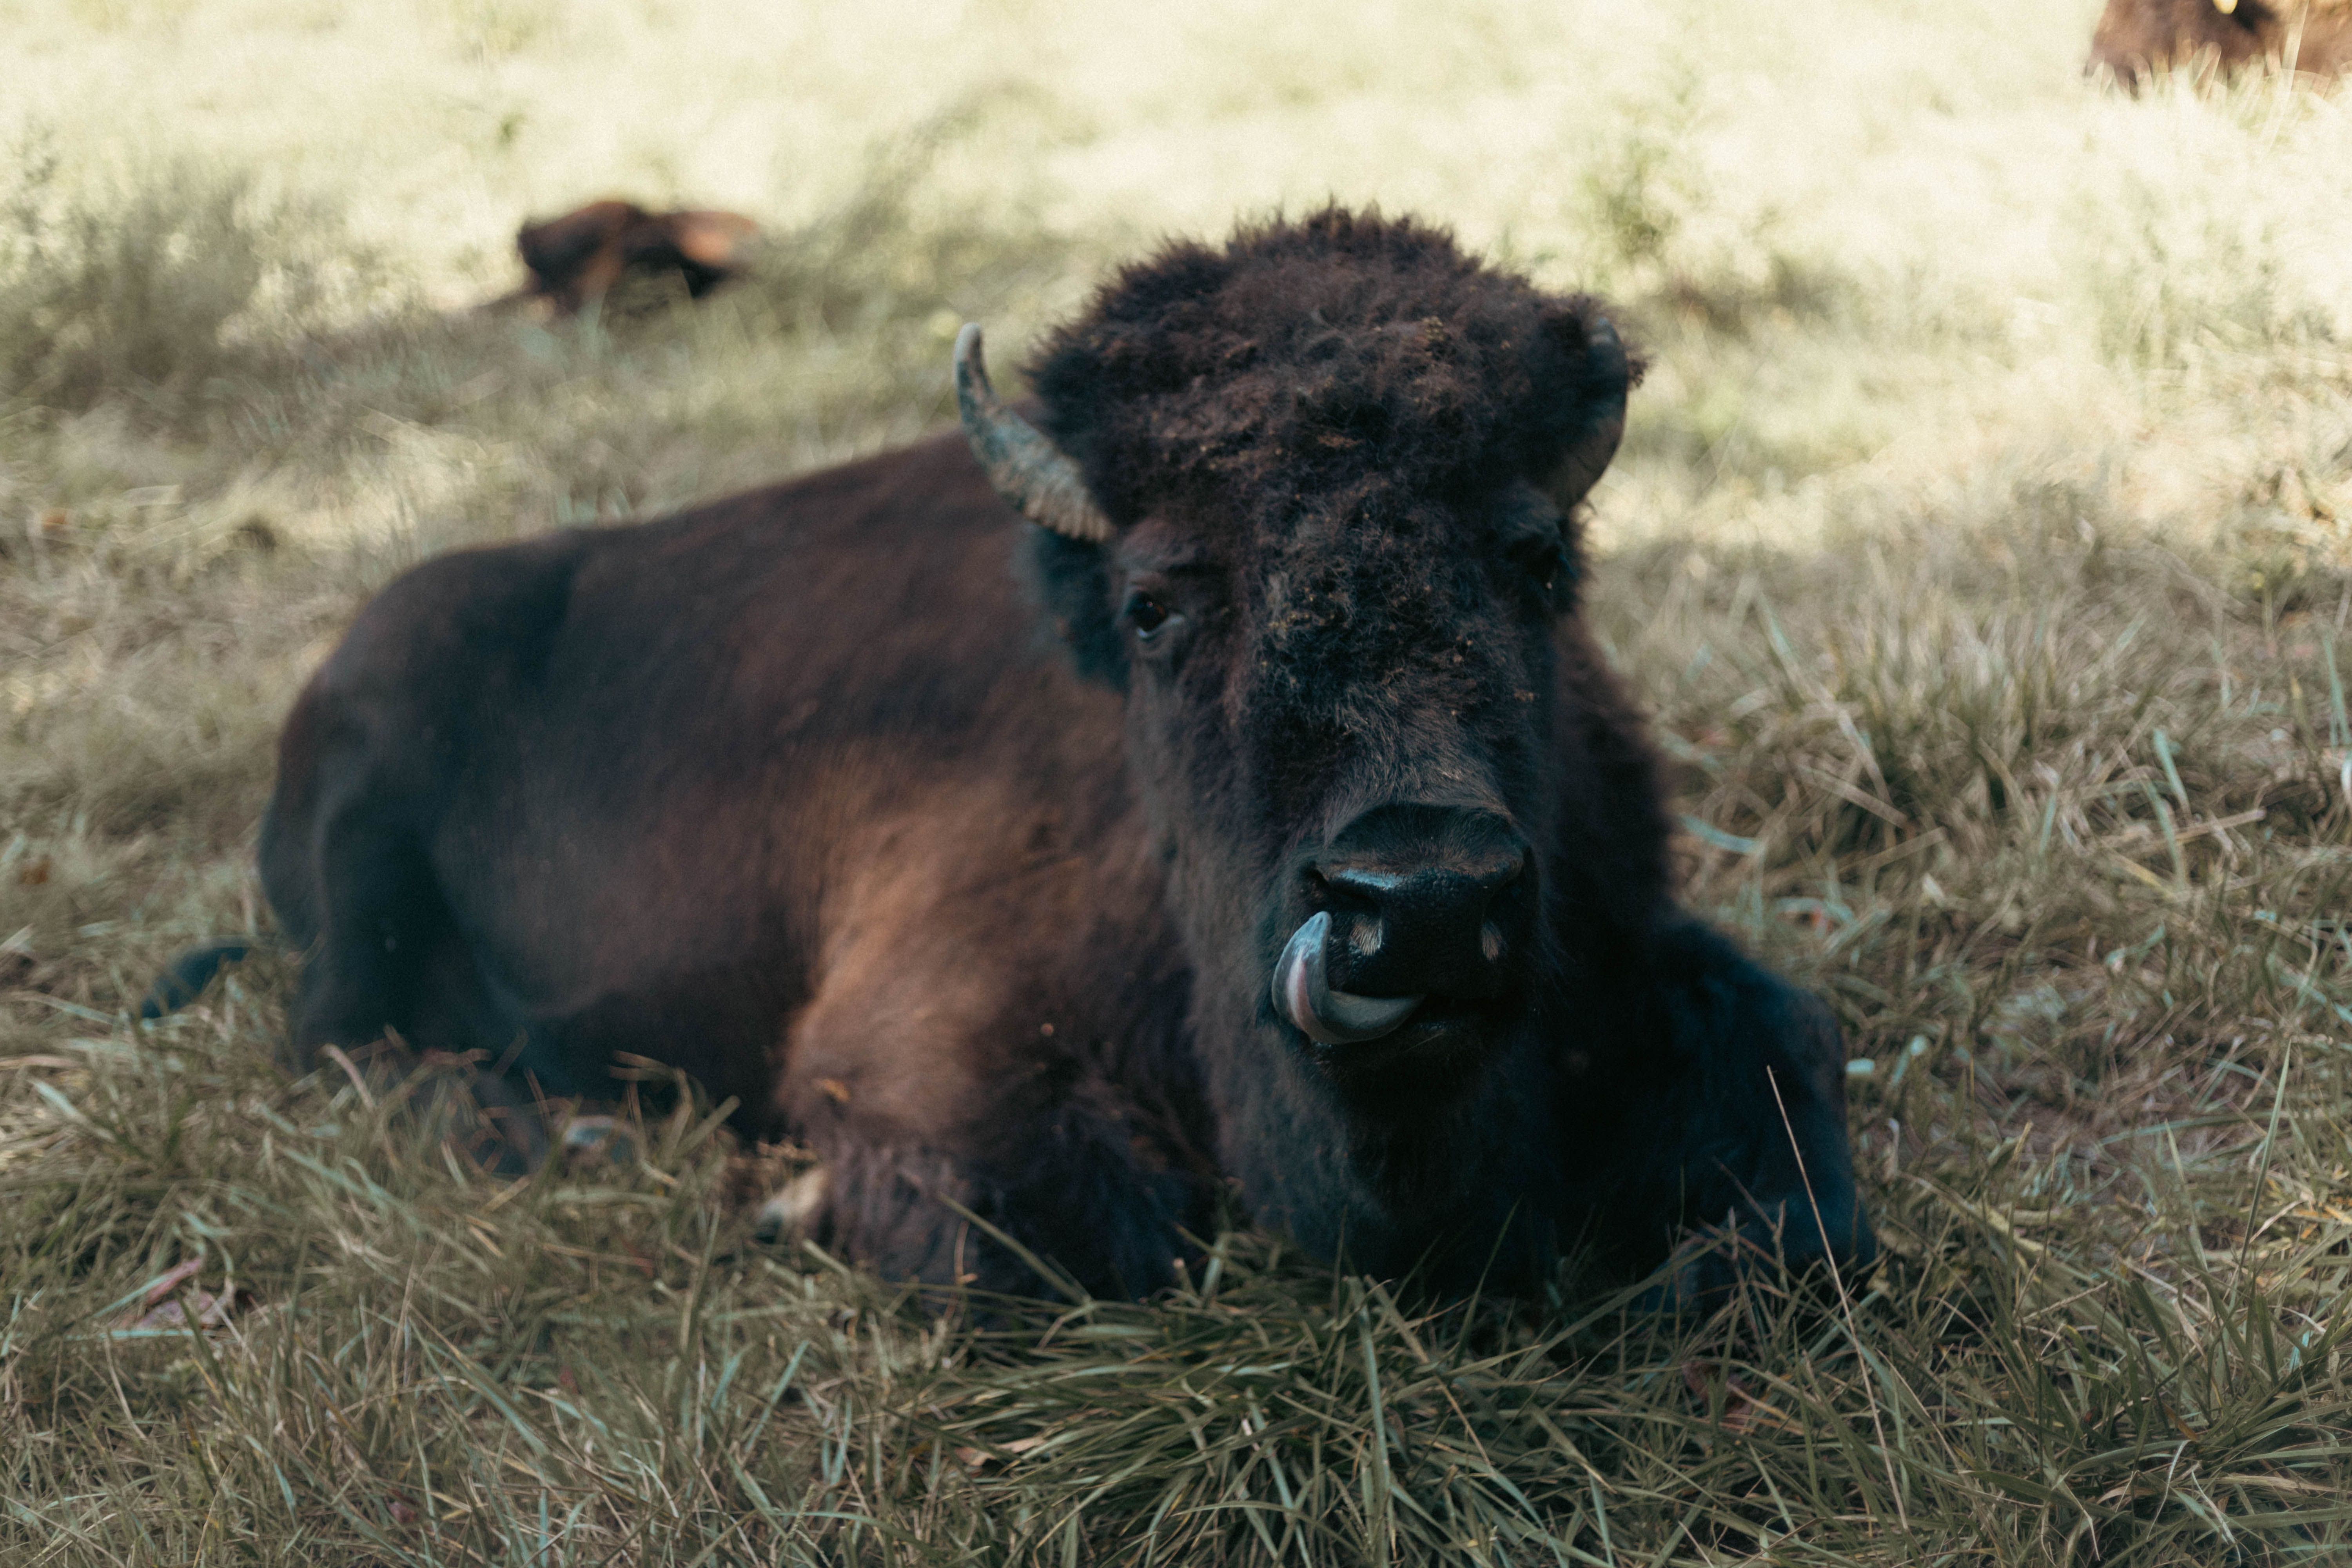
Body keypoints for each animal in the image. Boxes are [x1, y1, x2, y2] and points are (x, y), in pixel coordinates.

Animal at [242, 209, 1873, 1301]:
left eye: (1537, 561)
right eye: (1154, 604)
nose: (1417, 899)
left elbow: (1785, 1139)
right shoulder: (925, 1055)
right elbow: (1073, 1242)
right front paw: (792, 1199)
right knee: (343, 1047)